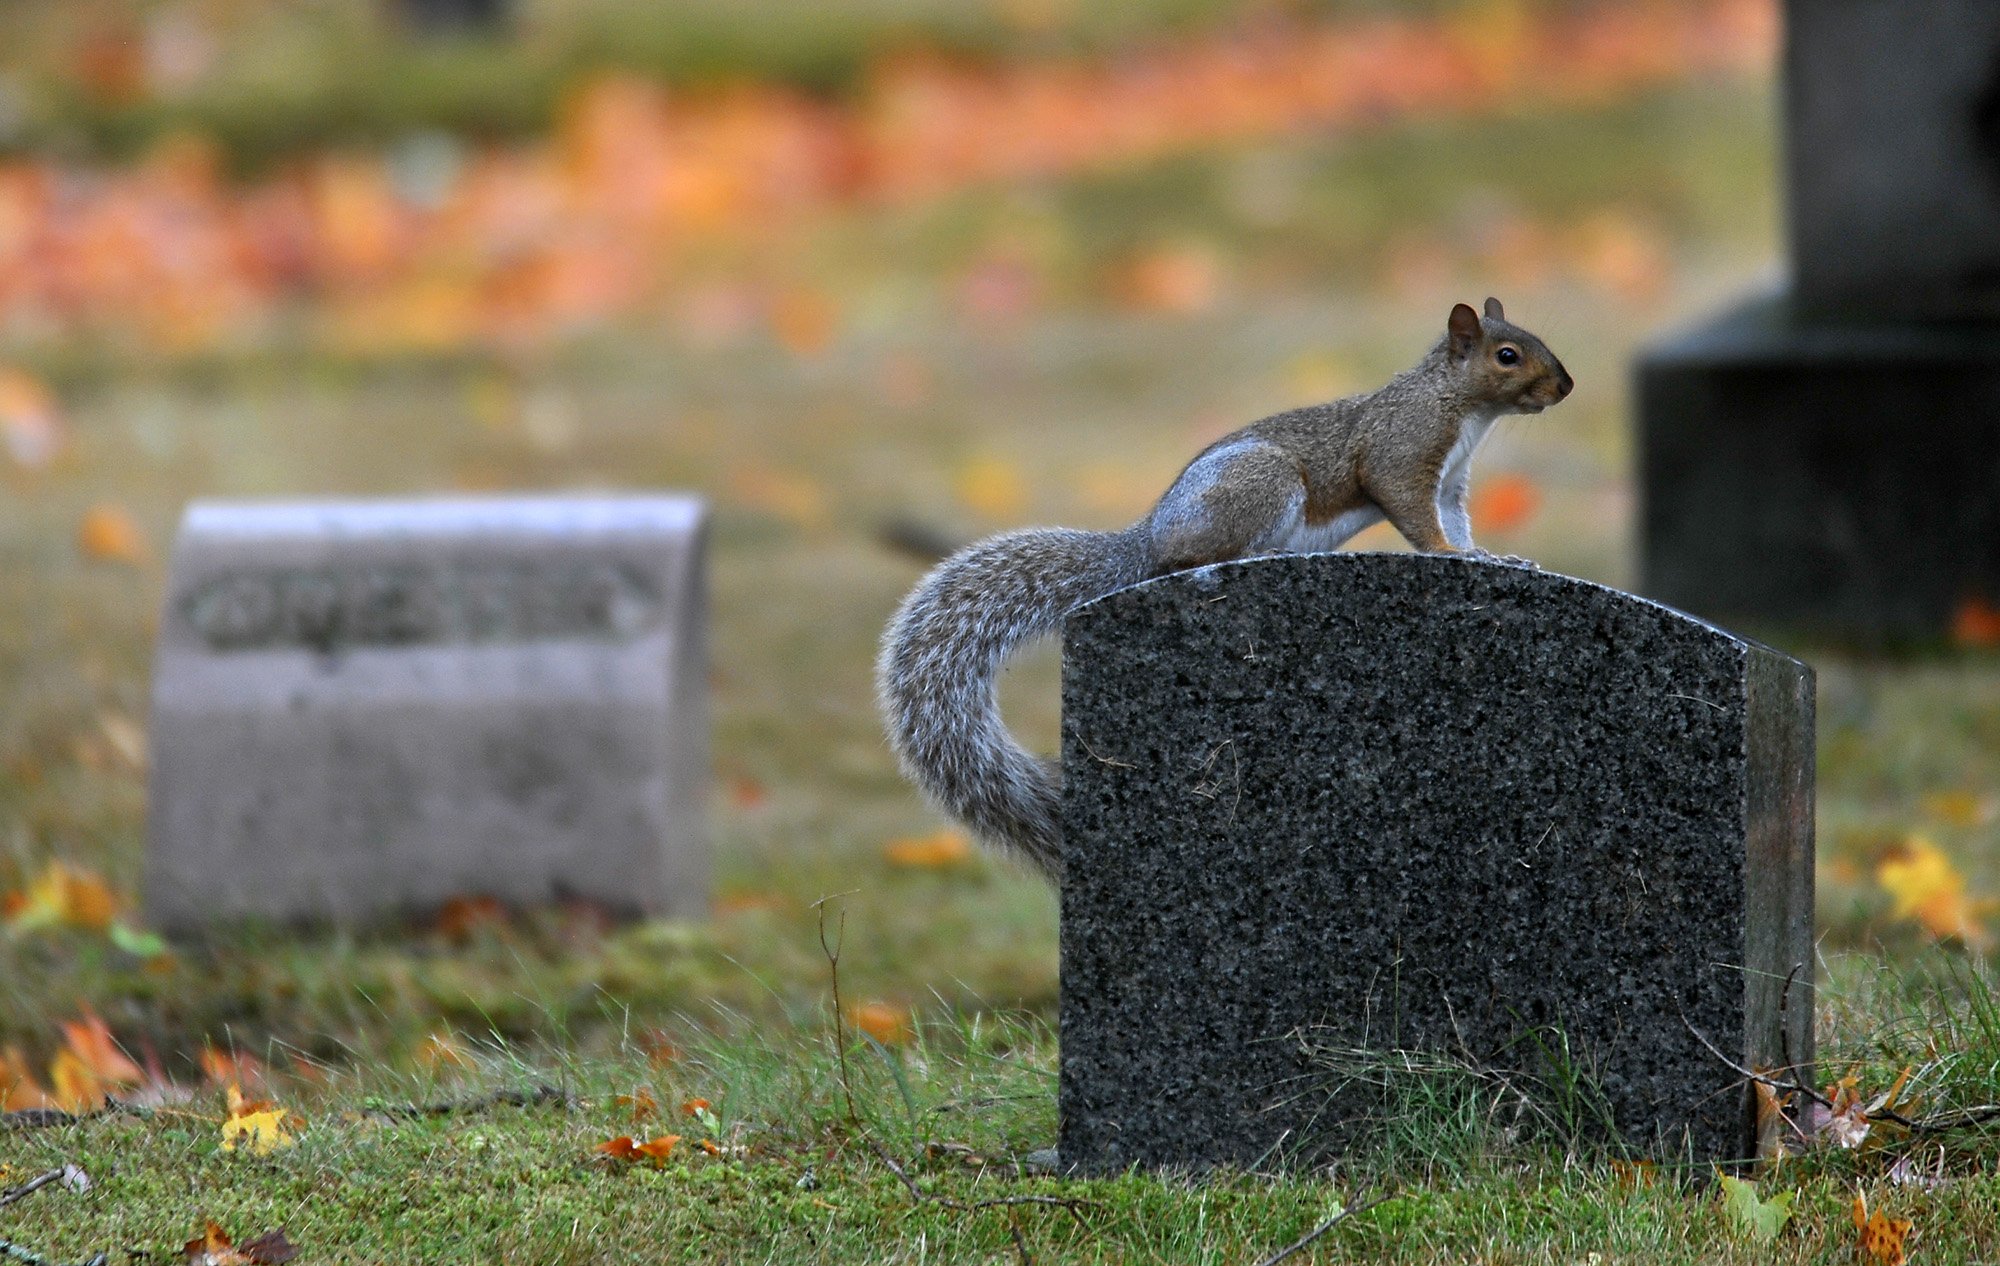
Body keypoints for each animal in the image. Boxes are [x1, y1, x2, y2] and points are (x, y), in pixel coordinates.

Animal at [877, 297, 1573, 880]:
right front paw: (1449, 555)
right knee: (1190, 558)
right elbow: (1415, 515)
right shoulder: (1400, 458)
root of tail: (1146, 538)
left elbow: (1454, 520)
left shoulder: (1451, 483)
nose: (1565, 387)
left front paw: (1486, 555)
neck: (1458, 406)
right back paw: (1251, 555)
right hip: (1260, 484)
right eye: (1506, 355)